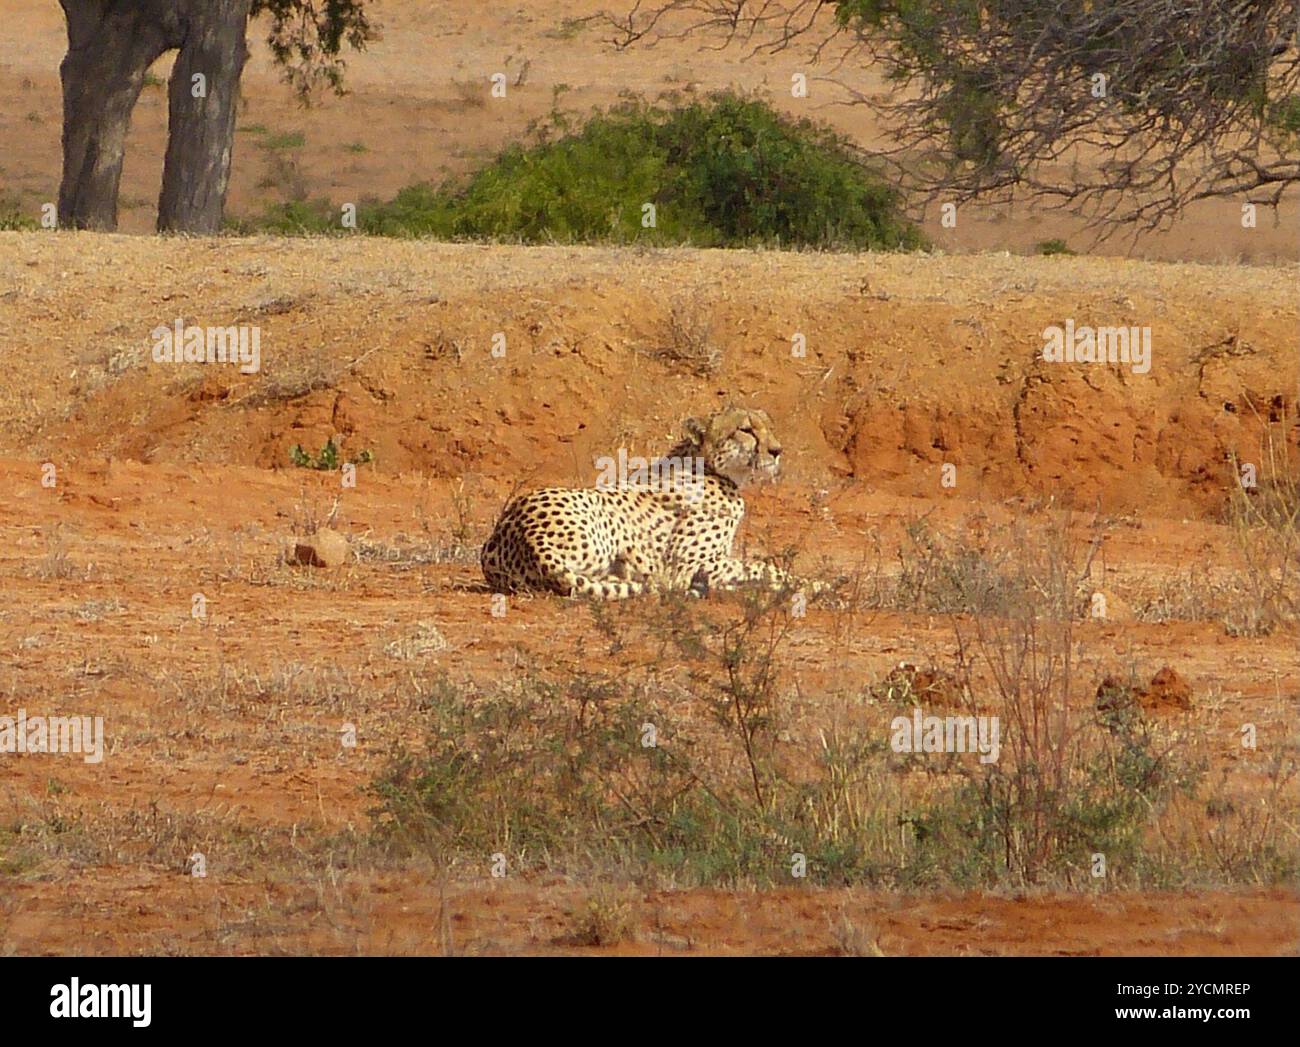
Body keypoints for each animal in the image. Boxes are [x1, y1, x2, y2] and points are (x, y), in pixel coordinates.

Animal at [480, 407, 802, 599]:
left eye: (769, 427)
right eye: (745, 430)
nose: (777, 450)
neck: (709, 466)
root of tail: (519, 530)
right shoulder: (688, 565)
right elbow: (762, 567)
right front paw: (803, 584)